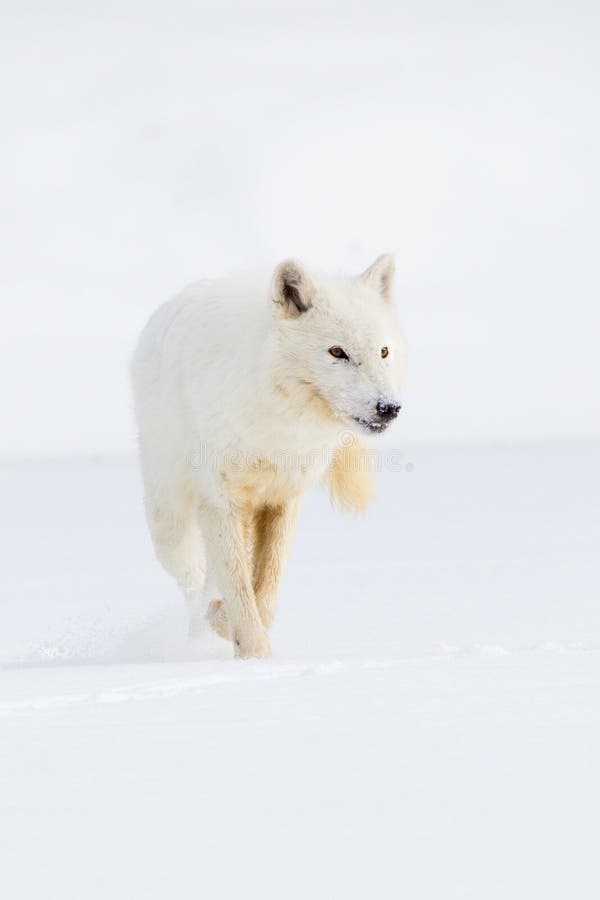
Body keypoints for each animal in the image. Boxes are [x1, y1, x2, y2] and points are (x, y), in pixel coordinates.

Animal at [132, 254, 403, 658]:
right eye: (337, 352)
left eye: (383, 352)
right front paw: (254, 655)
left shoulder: (283, 501)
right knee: (194, 579)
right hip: (169, 521)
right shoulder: (220, 503)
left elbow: (265, 592)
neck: (276, 423)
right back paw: (196, 630)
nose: (389, 408)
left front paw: (233, 630)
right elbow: (240, 592)